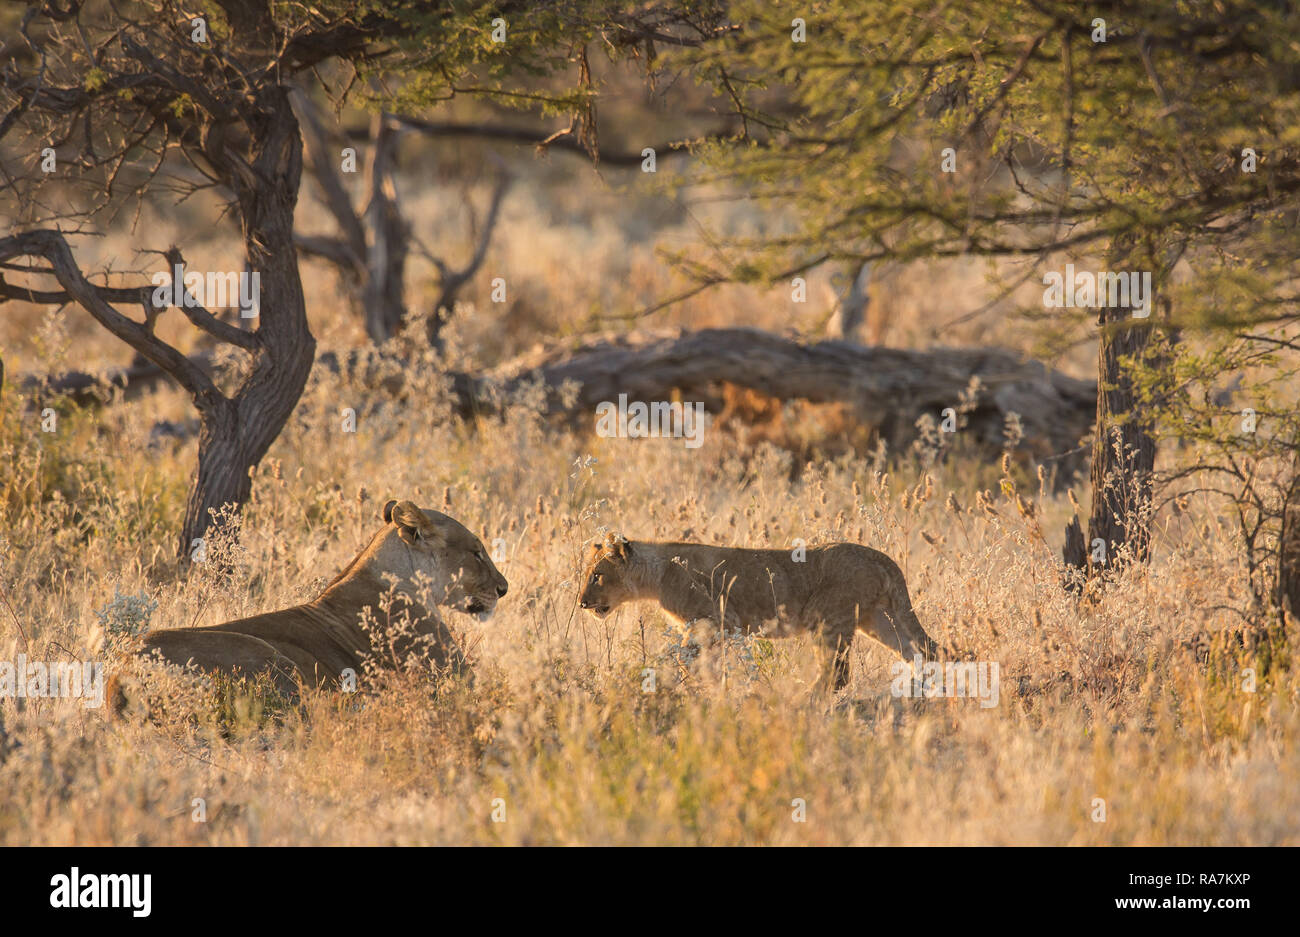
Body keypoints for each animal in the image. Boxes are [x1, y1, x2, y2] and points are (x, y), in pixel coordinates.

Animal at [577, 532, 937, 693]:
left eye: (597, 576)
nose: (581, 603)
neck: (656, 572)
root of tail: (883, 558)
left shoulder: (719, 621)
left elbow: (681, 656)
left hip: (829, 619)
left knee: (837, 675)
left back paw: (803, 701)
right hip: (878, 619)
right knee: (926, 650)